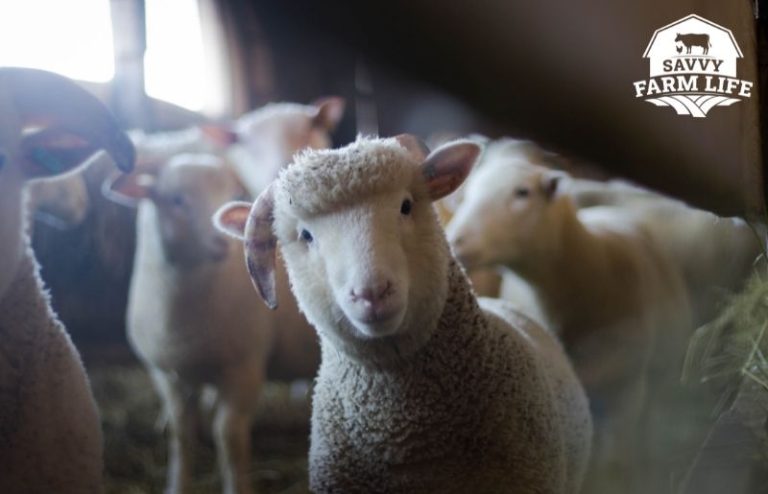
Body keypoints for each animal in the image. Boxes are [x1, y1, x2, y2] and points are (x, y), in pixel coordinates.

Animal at [106, 153, 318, 494]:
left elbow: (228, 436)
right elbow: (180, 433)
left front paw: (237, 487)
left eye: (232, 193)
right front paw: (176, 485)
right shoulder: (166, 375)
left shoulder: (245, 369)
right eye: (177, 200)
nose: (222, 243)